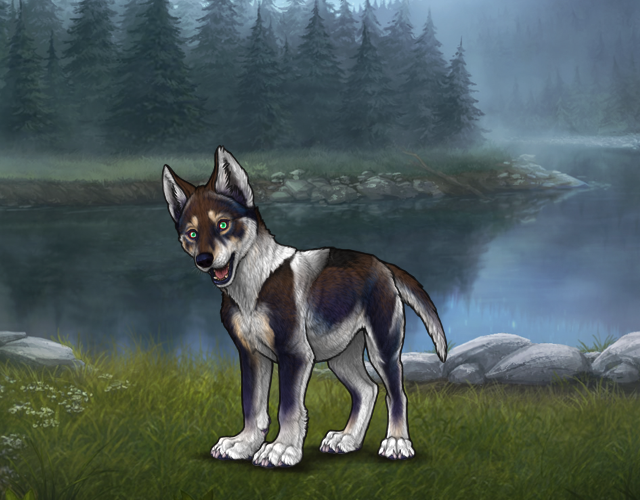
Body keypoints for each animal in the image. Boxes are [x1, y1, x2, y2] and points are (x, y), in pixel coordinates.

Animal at [162, 146, 447, 468]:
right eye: (192, 233)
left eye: (223, 224)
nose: (204, 260)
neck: (254, 285)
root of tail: (382, 264)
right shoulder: (251, 356)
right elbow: (252, 406)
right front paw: (244, 444)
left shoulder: (294, 355)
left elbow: (288, 407)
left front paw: (281, 449)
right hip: (340, 358)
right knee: (367, 390)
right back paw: (347, 439)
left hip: (382, 351)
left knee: (396, 395)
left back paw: (397, 443)